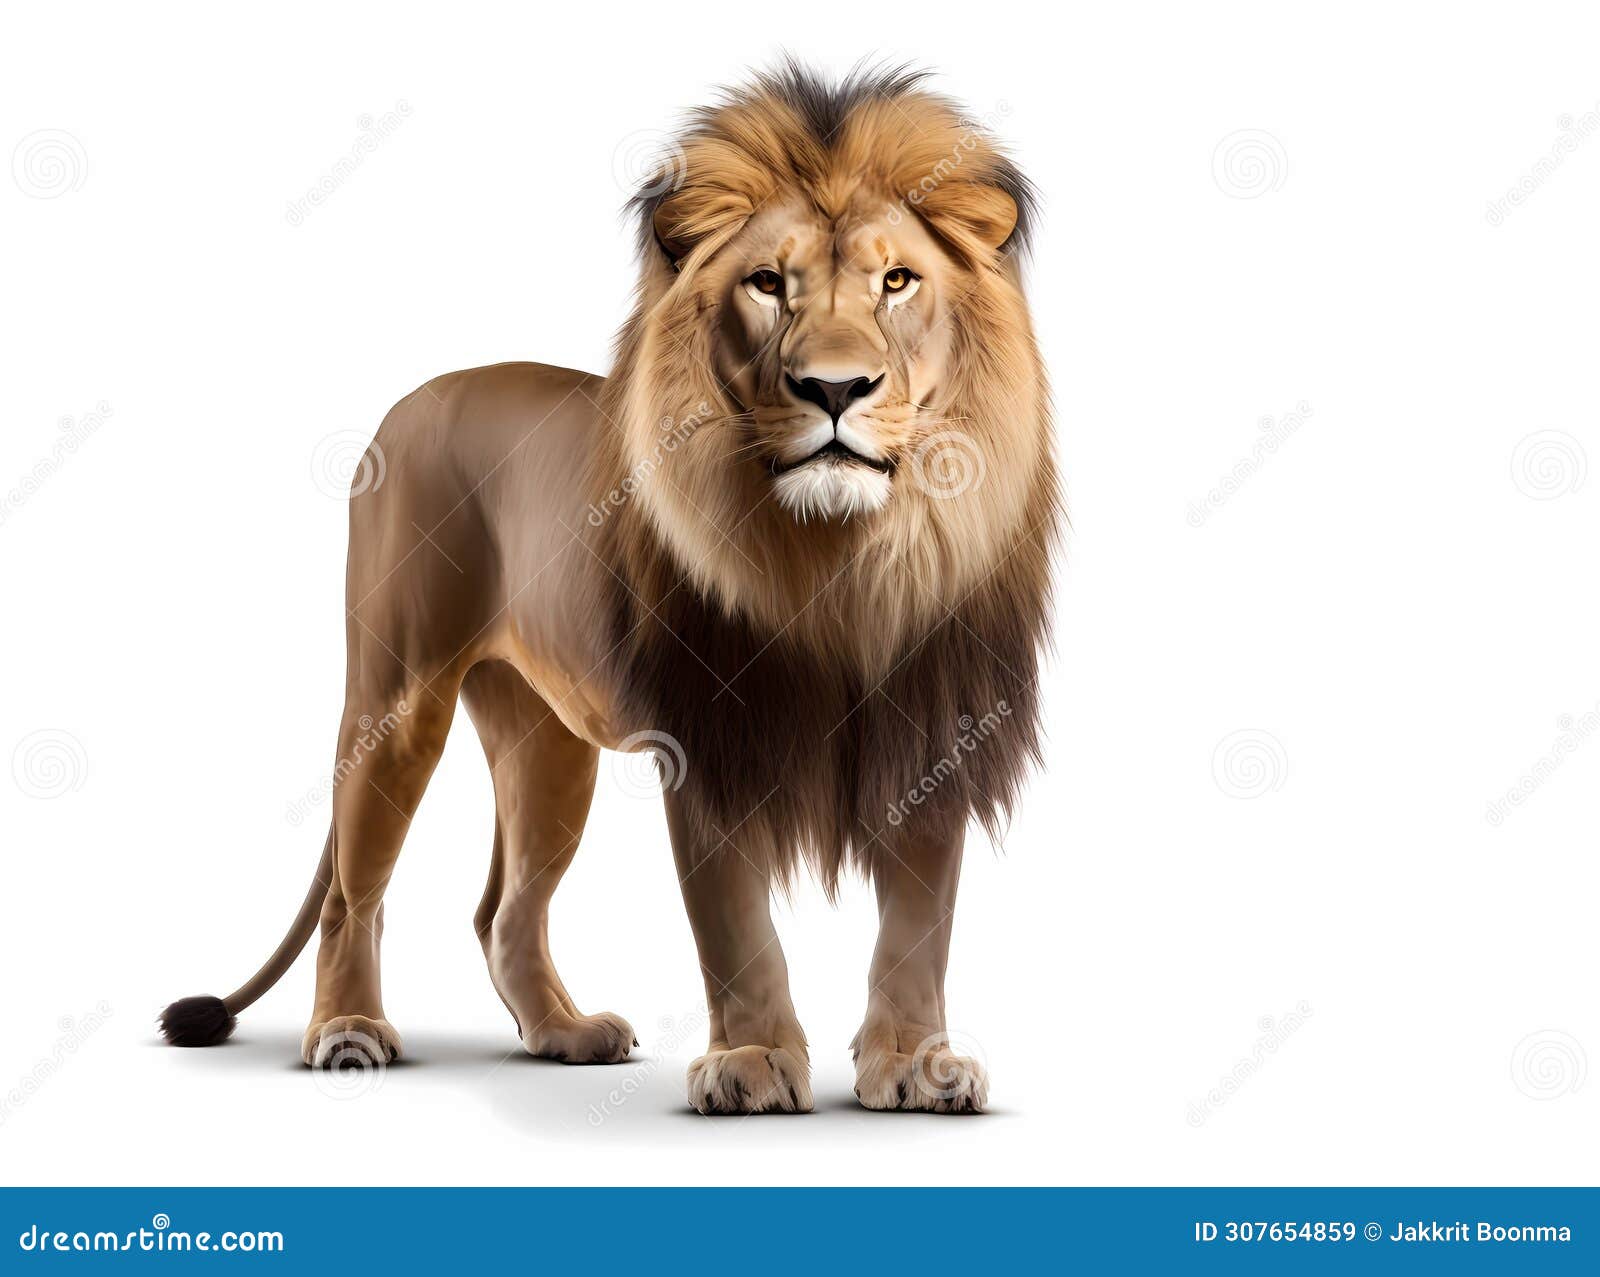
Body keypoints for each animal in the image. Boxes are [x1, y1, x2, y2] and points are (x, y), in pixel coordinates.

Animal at [161, 60, 1058, 1115]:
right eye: (768, 284)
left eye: (897, 281)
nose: (835, 389)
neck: (841, 557)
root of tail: (414, 398)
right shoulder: (712, 731)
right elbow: (734, 923)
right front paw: (751, 1061)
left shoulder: (932, 721)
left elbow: (919, 923)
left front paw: (917, 1062)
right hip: (397, 697)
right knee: (354, 890)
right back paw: (346, 1030)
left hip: (546, 741)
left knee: (504, 910)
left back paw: (564, 1032)